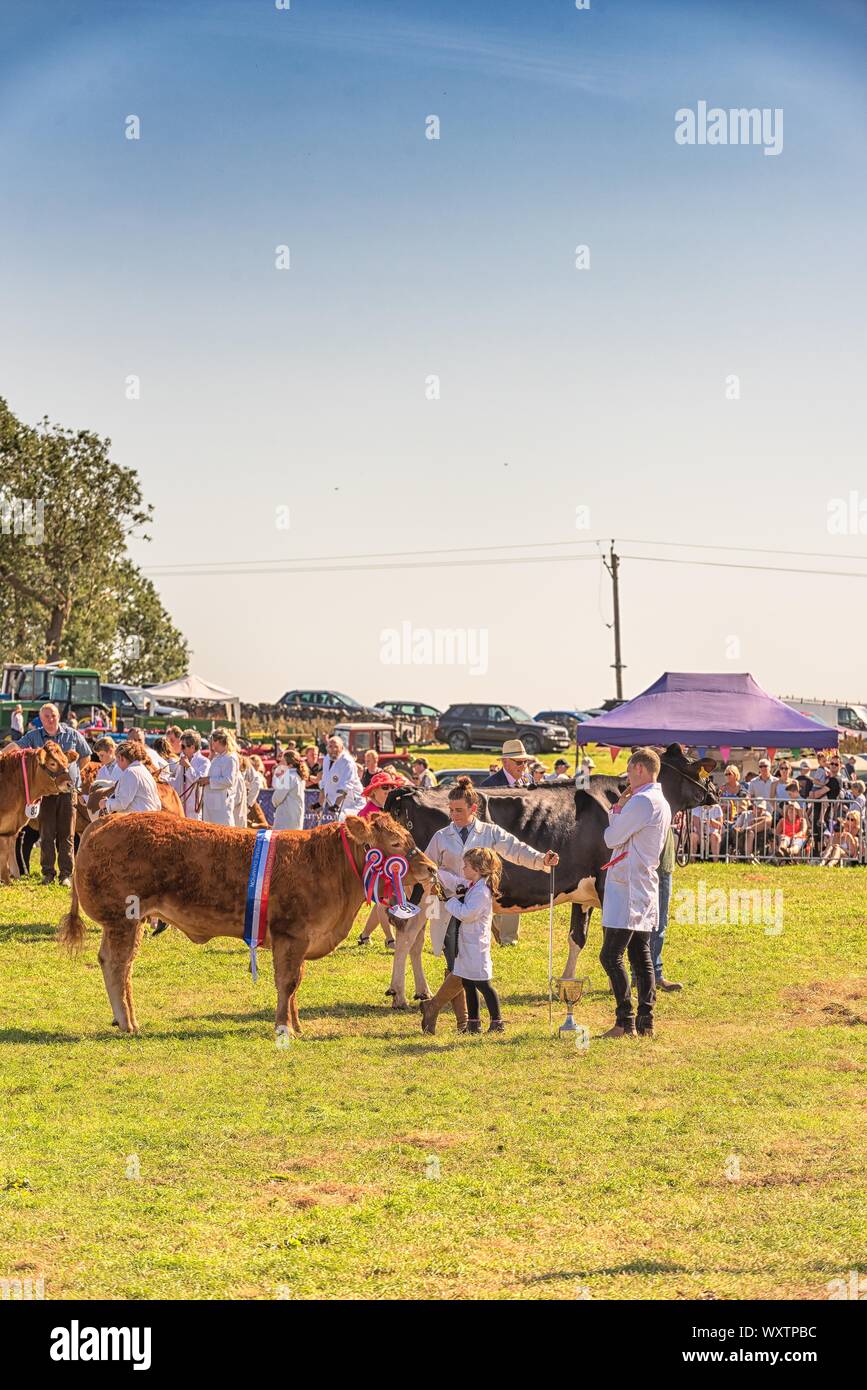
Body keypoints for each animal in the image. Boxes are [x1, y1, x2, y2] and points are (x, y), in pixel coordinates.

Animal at [58, 811, 437, 1038]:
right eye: (396, 843)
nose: (432, 868)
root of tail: (110, 817)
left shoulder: (299, 940)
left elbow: (295, 983)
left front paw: (296, 1024)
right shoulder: (291, 935)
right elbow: (287, 982)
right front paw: (284, 1028)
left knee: (112, 962)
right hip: (123, 919)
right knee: (118, 966)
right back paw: (128, 1022)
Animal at [384, 744, 717, 998]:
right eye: (694, 764)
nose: (714, 790)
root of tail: (411, 791)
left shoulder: (583, 893)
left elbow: (577, 938)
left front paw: (566, 984)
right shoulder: (606, 883)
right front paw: (616, 985)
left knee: (415, 939)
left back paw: (422, 991)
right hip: (420, 888)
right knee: (405, 934)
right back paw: (399, 993)